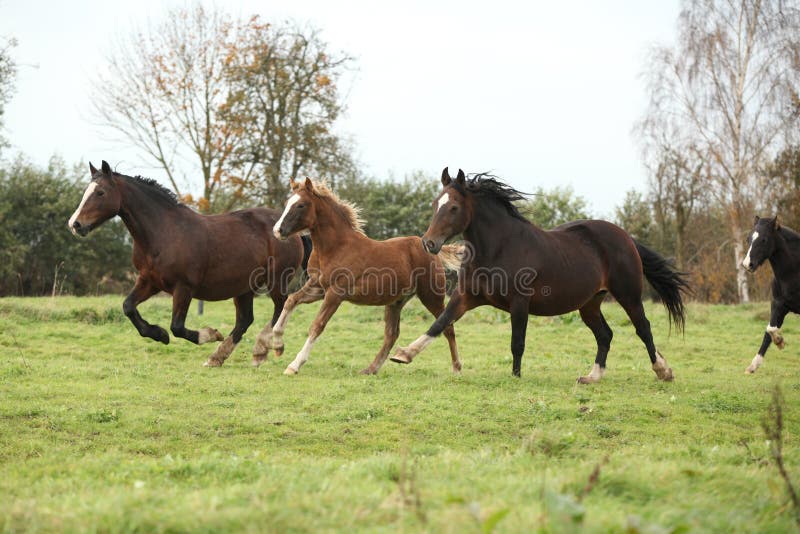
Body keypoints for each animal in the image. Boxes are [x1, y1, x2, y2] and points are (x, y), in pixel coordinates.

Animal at [68, 160, 307, 367]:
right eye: (87, 191)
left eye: (100, 192)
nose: (75, 224)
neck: (164, 233)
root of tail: (289, 231)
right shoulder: (149, 281)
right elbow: (128, 307)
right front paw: (159, 335)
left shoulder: (184, 288)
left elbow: (177, 327)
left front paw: (208, 334)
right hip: (244, 288)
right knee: (245, 320)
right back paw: (217, 357)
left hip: (276, 281)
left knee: (280, 309)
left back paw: (261, 349)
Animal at [258, 176, 463, 375]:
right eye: (287, 203)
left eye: (301, 205)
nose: (277, 231)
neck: (335, 247)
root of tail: (432, 249)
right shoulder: (317, 287)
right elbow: (291, 300)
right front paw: (277, 346)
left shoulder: (335, 293)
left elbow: (317, 325)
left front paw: (294, 365)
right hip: (396, 301)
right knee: (391, 334)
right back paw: (371, 369)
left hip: (431, 295)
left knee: (447, 326)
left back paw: (456, 368)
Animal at [390, 168, 690, 382]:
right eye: (435, 204)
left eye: (453, 207)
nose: (428, 243)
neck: (499, 248)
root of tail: (626, 237)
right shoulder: (465, 297)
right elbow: (440, 323)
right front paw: (403, 354)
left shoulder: (519, 303)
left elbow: (517, 342)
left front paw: (516, 377)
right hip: (589, 304)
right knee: (605, 334)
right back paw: (592, 377)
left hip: (628, 294)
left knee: (643, 328)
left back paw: (663, 371)